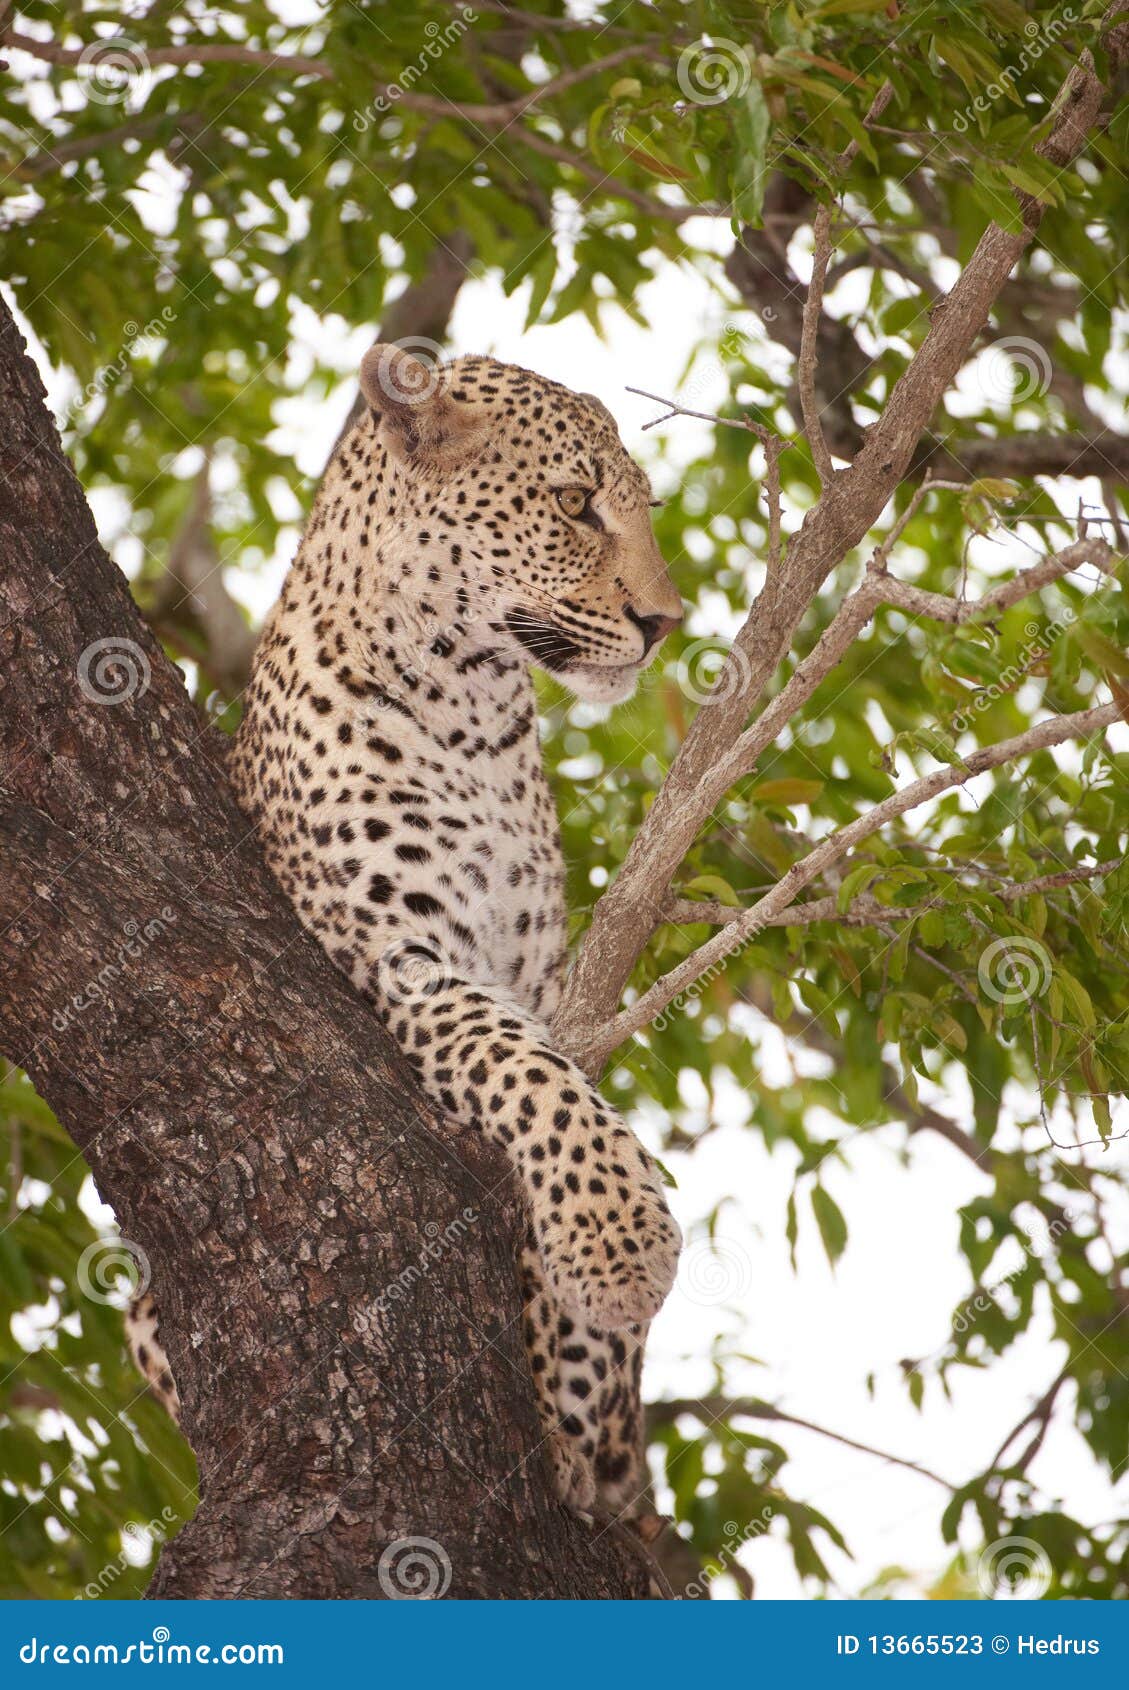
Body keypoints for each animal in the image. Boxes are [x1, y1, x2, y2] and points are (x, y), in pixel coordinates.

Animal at [127, 343, 684, 1517]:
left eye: (642, 508)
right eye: (574, 504)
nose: (666, 623)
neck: (477, 715)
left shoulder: (545, 973)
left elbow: (564, 1067)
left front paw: (572, 1330)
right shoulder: (400, 959)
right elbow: (528, 1070)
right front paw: (617, 1240)